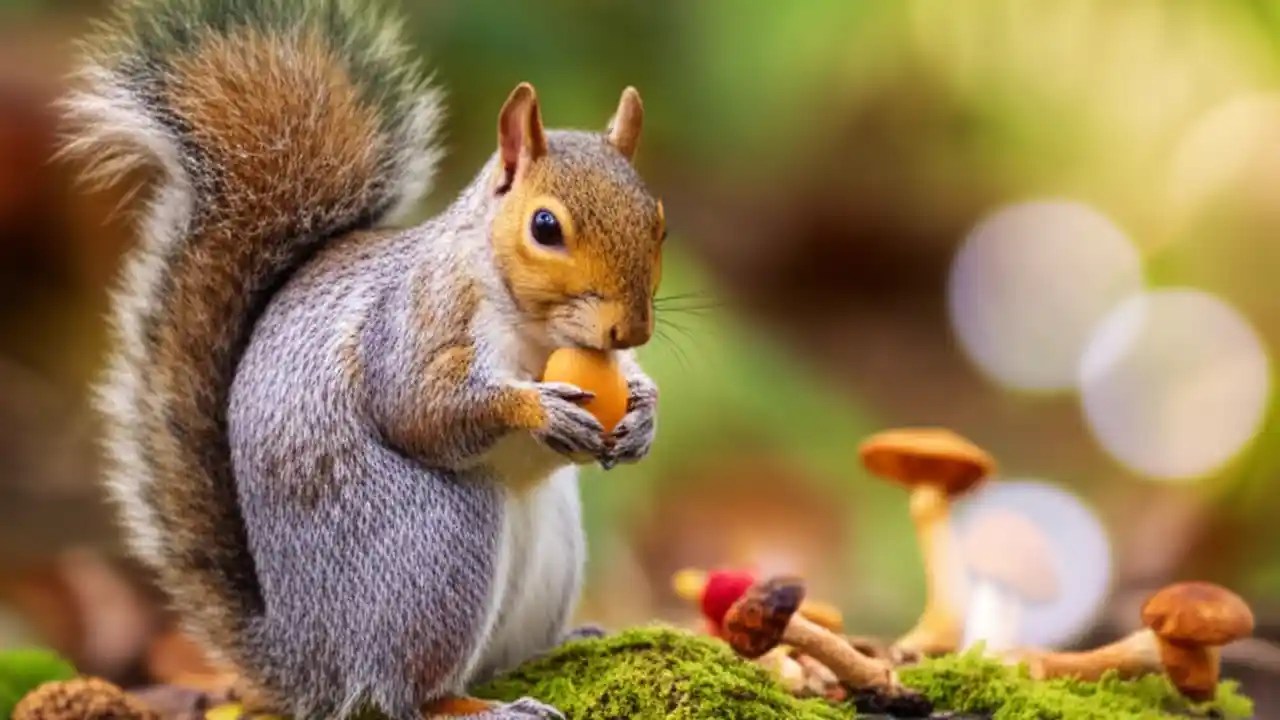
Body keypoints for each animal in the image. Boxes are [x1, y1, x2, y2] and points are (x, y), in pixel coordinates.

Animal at [61, 1, 664, 719]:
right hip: (436, 548)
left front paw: (645, 412)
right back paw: (482, 707)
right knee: (407, 692)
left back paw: (563, 644)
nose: (631, 328)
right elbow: (419, 410)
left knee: (495, 658)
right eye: (545, 227)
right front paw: (536, 408)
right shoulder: (414, 322)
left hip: (550, 550)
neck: (537, 332)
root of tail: (309, 661)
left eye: (658, 220)